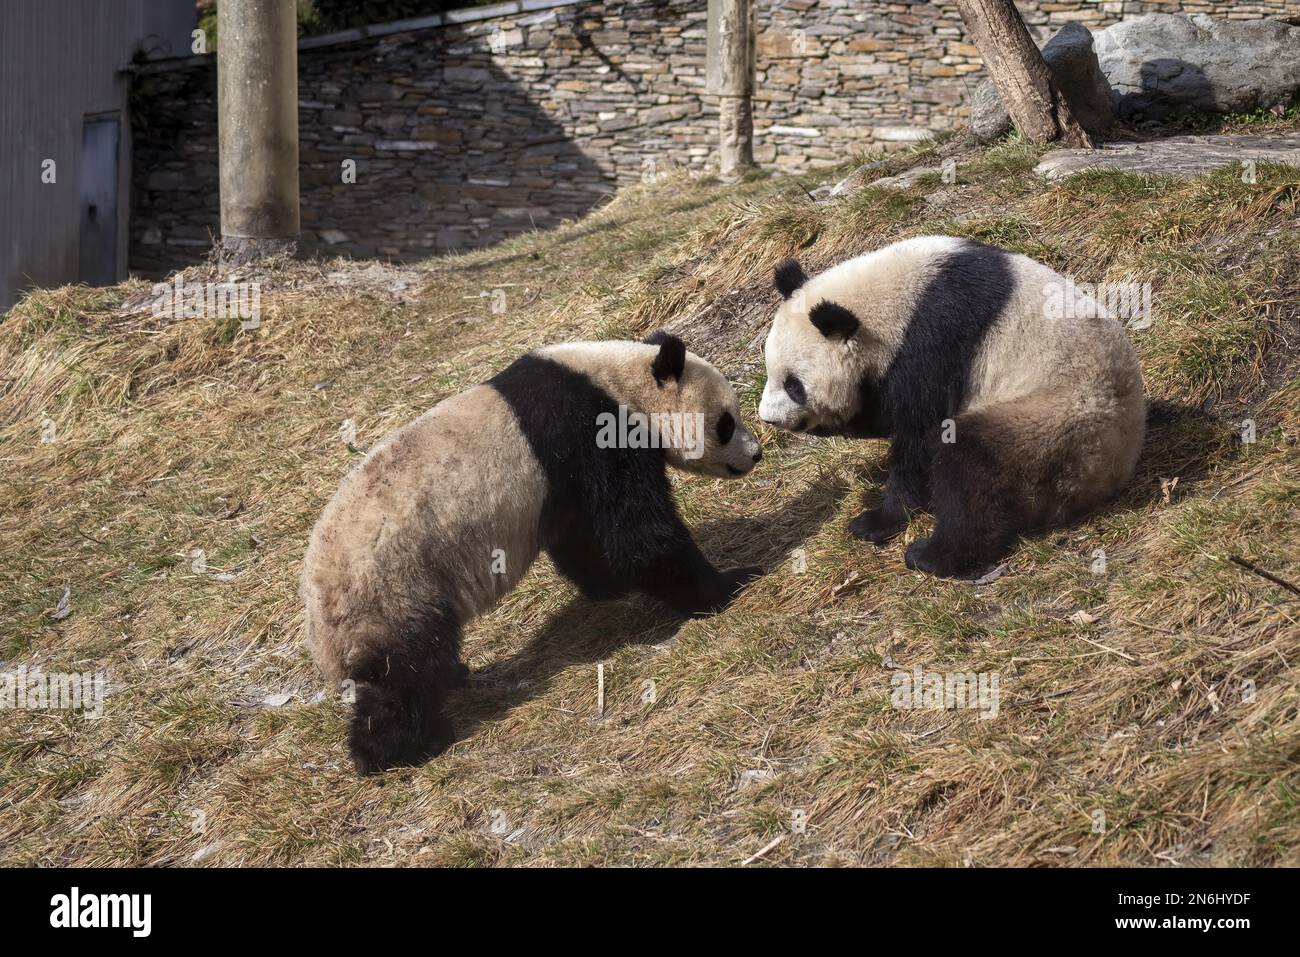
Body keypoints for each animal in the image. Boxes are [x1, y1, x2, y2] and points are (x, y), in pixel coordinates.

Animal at [302, 332, 763, 774]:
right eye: (726, 423)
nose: (756, 453)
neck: (619, 383)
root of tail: (319, 623)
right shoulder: (588, 433)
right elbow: (637, 535)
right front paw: (729, 583)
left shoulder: (563, 484)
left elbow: (585, 540)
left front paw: (608, 586)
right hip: (395, 587)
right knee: (404, 672)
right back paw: (394, 751)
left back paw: (452, 680)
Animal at [758, 236, 1145, 579]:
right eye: (770, 370)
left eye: (794, 385)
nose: (768, 418)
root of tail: (1115, 470)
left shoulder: (935, 342)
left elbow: (920, 436)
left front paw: (876, 521)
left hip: (1055, 423)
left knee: (969, 464)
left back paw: (933, 555)